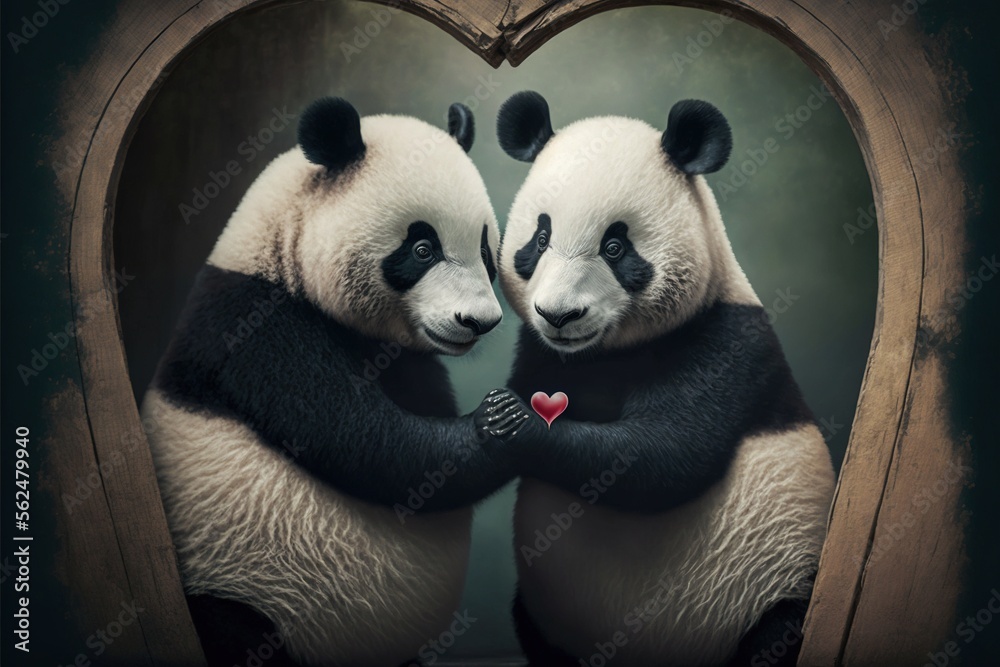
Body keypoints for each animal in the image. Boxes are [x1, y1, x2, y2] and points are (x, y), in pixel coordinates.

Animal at [140, 97, 532, 667]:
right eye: (422, 249)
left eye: (485, 250)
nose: (478, 321)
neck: (279, 249)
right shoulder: (255, 332)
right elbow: (378, 448)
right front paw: (501, 423)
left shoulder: (409, 361)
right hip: (239, 589)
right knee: (234, 629)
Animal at [493, 91, 837, 667]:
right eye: (539, 239)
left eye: (616, 247)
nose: (559, 315)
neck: (606, 354)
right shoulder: (540, 352)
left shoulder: (725, 343)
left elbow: (663, 458)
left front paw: (515, 424)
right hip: (551, 617)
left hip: (776, 581)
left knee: (778, 634)